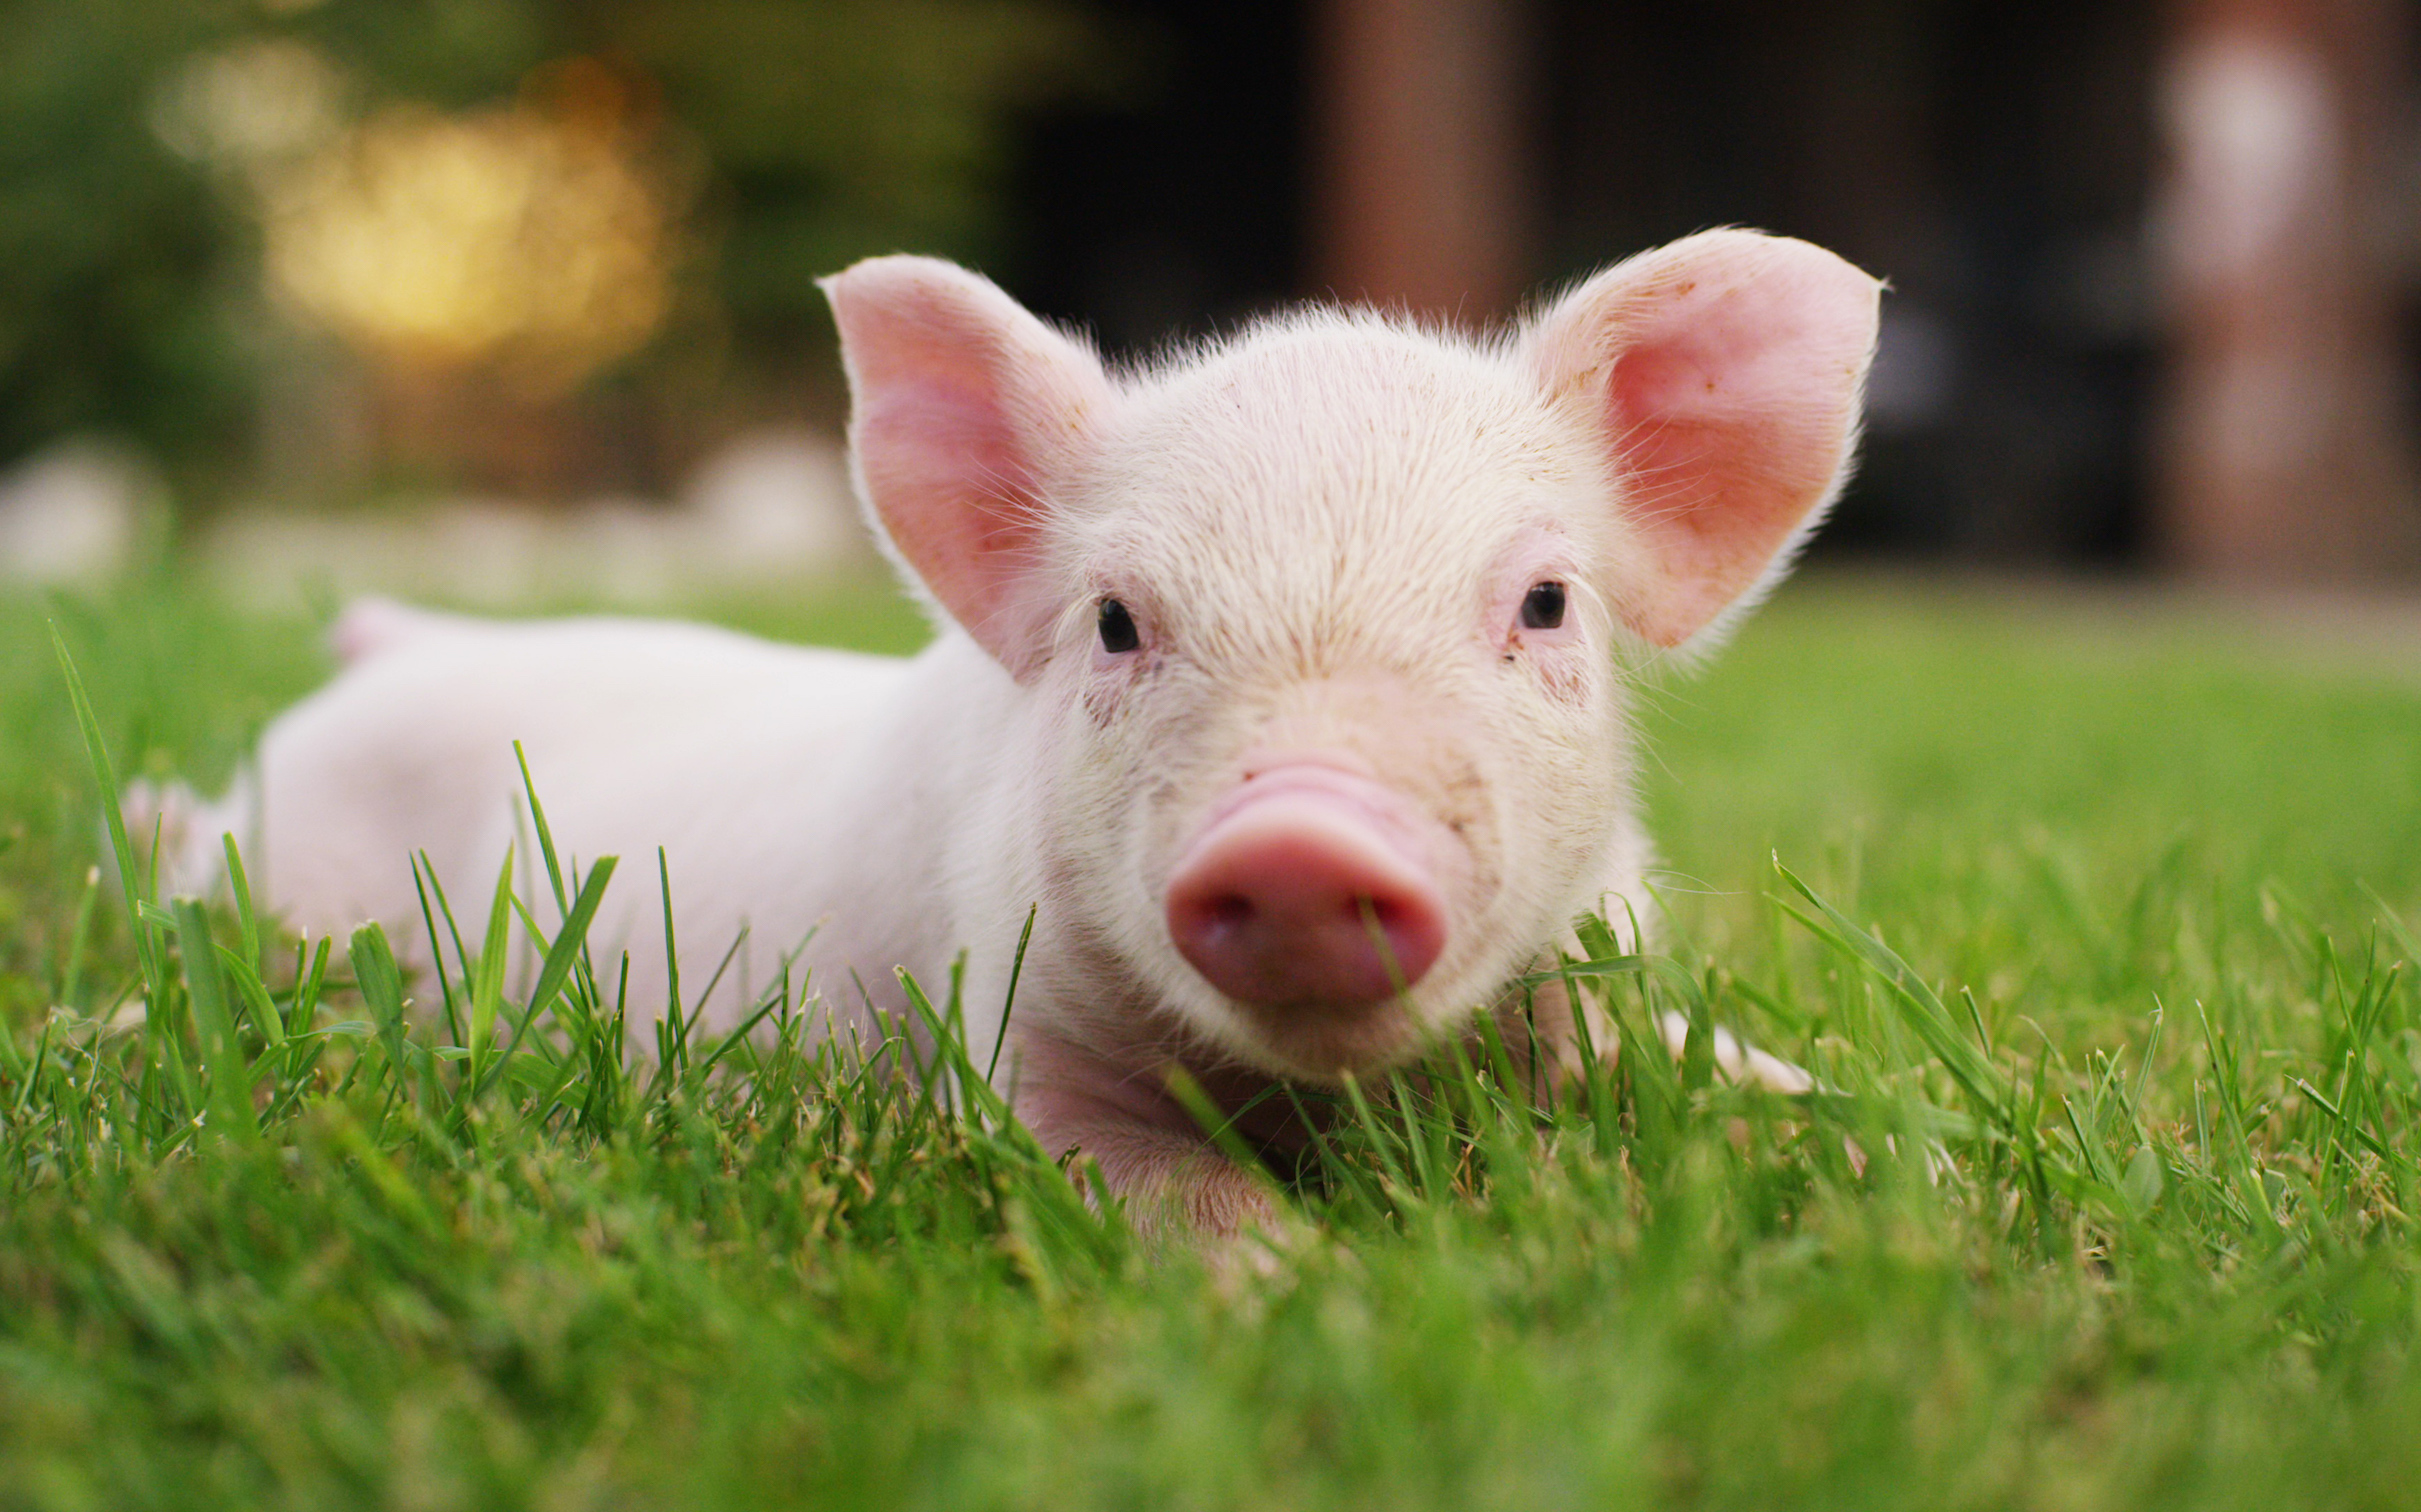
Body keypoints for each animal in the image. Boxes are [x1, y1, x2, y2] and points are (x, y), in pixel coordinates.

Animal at [149, 229, 1879, 1233]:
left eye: (1544, 604)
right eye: (1115, 622)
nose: (1302, 832)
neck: (1317, 1098)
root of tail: (400, 642)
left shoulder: (1592, 977)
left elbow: (1726, 1076)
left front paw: (1877, 1158)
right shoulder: (1009, 1035)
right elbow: (1165, 1195)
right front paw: (1314, 1288)